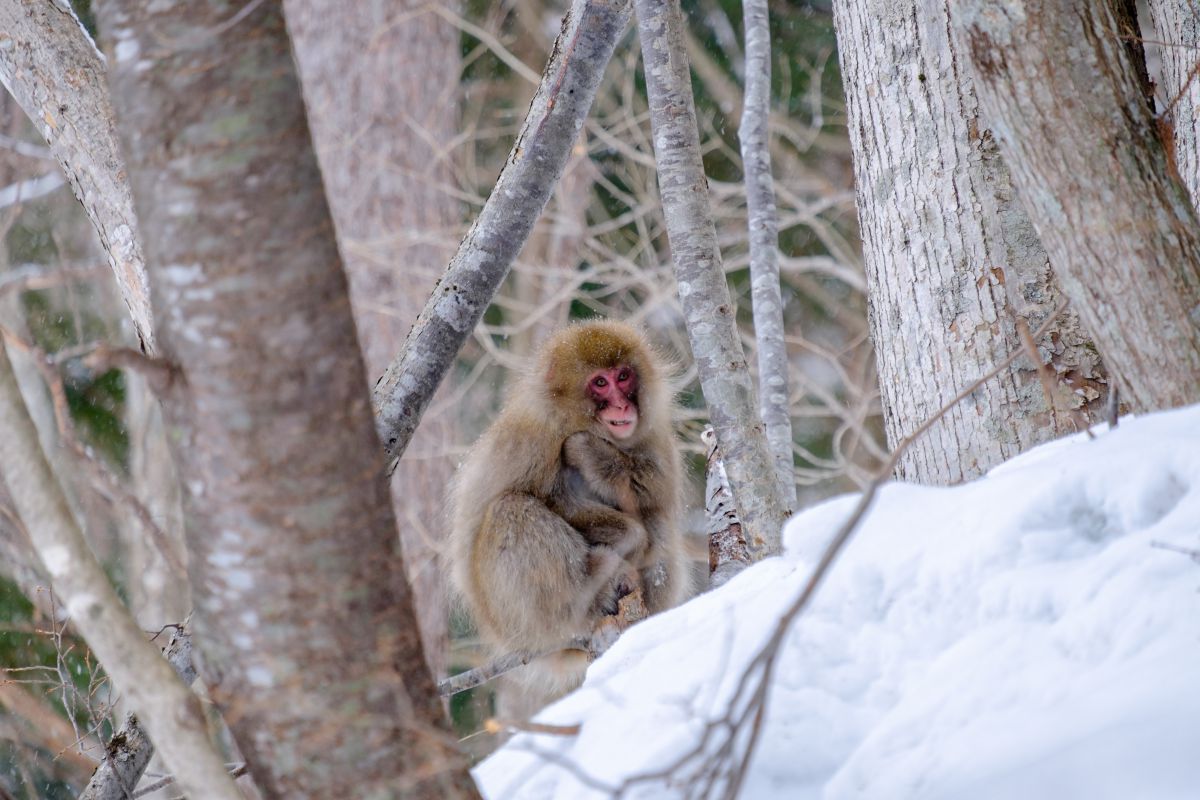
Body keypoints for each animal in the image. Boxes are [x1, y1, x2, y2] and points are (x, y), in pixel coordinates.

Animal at [448, 319, 689, 692]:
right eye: (600, 383)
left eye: (623, 376)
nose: (622, 406)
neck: (577, 420)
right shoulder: (538, 439)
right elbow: (551, 499)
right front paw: (627, 539)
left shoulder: (653, 433)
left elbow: (657, 488)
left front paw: (594, 455)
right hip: (523, 620)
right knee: (511, 509)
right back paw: (594, 592)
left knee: (658, 519)